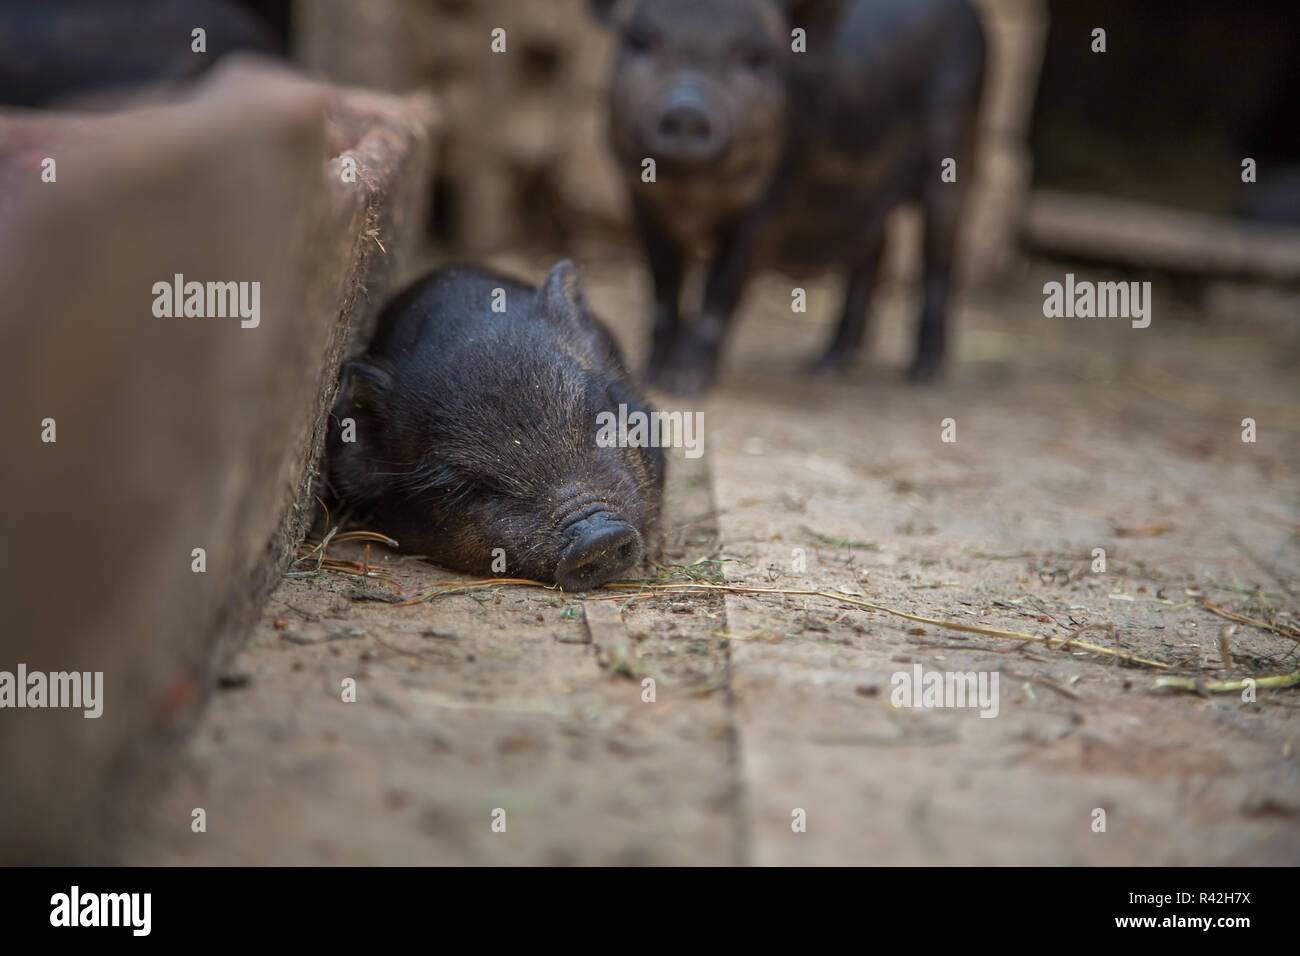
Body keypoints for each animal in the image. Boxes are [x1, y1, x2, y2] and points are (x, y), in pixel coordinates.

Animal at [592, 0, 986, 392]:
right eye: (640, 40)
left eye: (755, 55)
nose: (686, 108)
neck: (693, 198)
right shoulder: (643, 206)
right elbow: (663, 290)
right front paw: (650, 378)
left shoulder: (768, 208)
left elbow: (721, 291)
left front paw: (685, 387)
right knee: (876, 248)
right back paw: (825, 364)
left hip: (955, 151)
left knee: (940, 257)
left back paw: (923, 372)